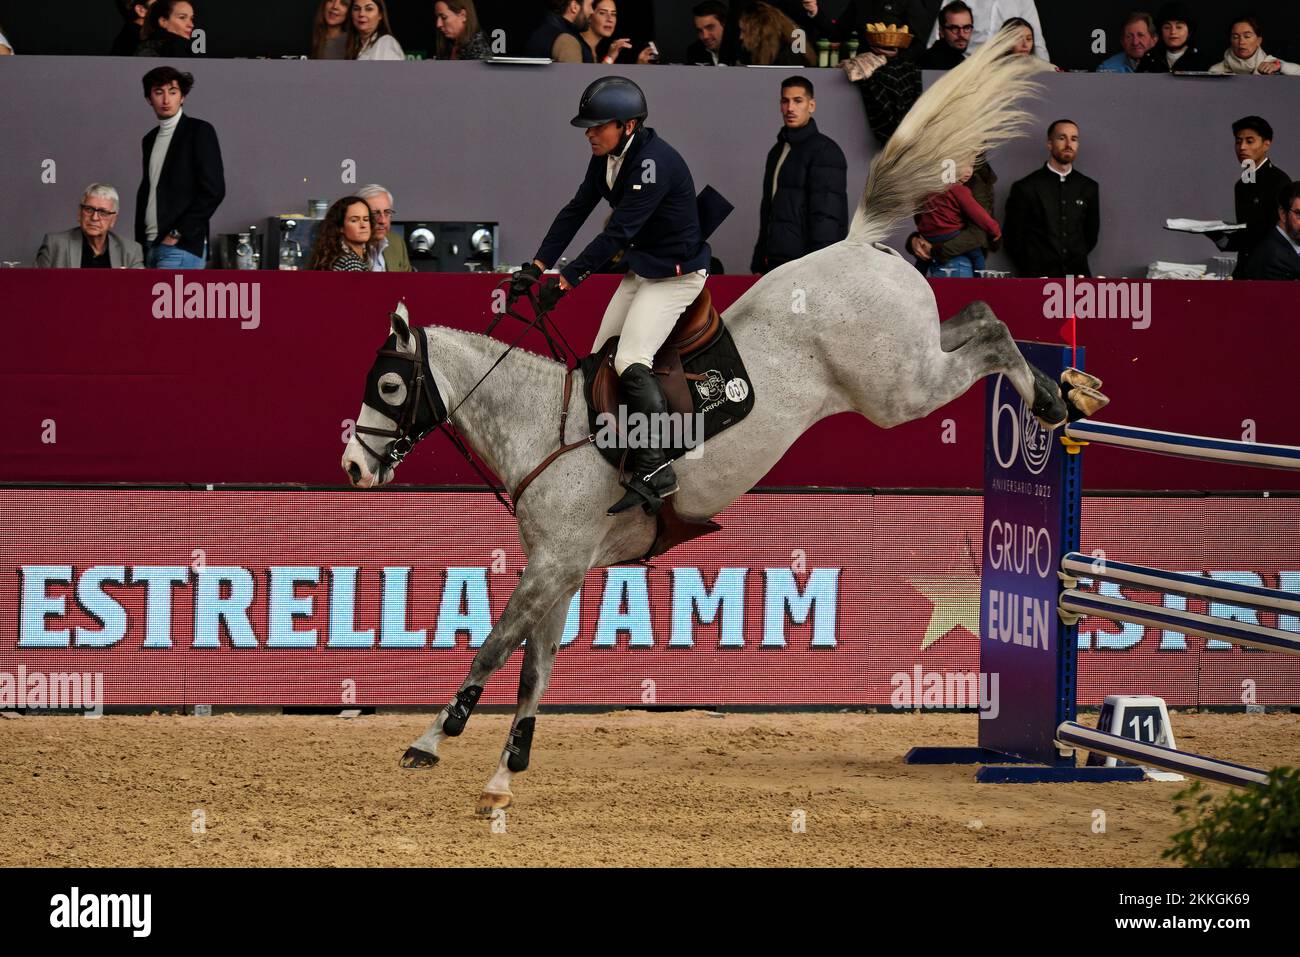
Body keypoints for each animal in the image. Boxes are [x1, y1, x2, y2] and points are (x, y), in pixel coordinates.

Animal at [341, 28, 1076, 814]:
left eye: (389, 384)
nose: (353, 467)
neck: (546, 426)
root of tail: (858, 242)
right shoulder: (564, 566)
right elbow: (535, 666)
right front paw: (506, 771)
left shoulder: (553, 563)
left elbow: (495, 644)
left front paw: (432, 739)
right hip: (909, 365)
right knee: (976, 316)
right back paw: (1062, 391)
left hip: (899, 388)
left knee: (990, 333)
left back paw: (1054, 400)